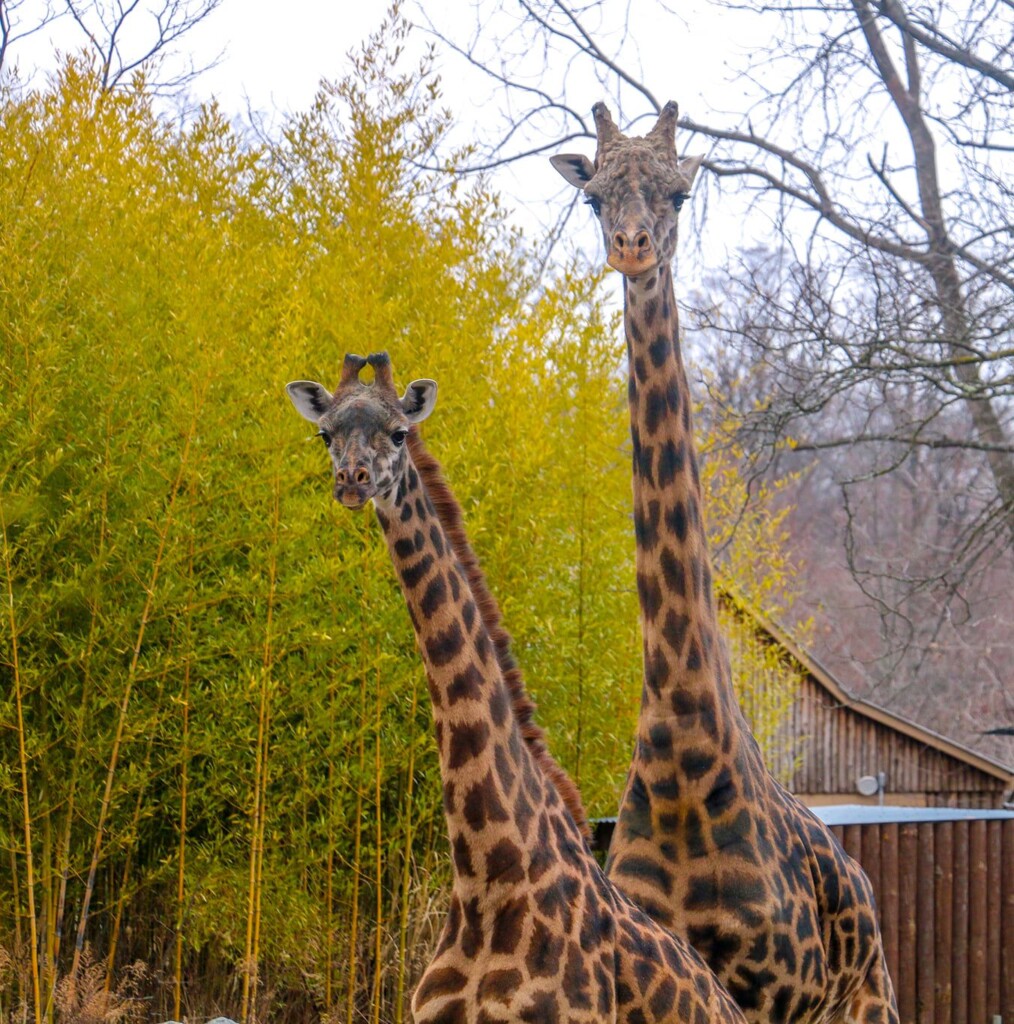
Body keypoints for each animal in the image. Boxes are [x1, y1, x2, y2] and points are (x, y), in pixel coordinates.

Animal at [551, 103, 898, 1024]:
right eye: (594, 196)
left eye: (678, 191)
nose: (634, 245)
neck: (684, 748)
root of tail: (861, 883)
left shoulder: (769, 993)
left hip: (867, 1001)